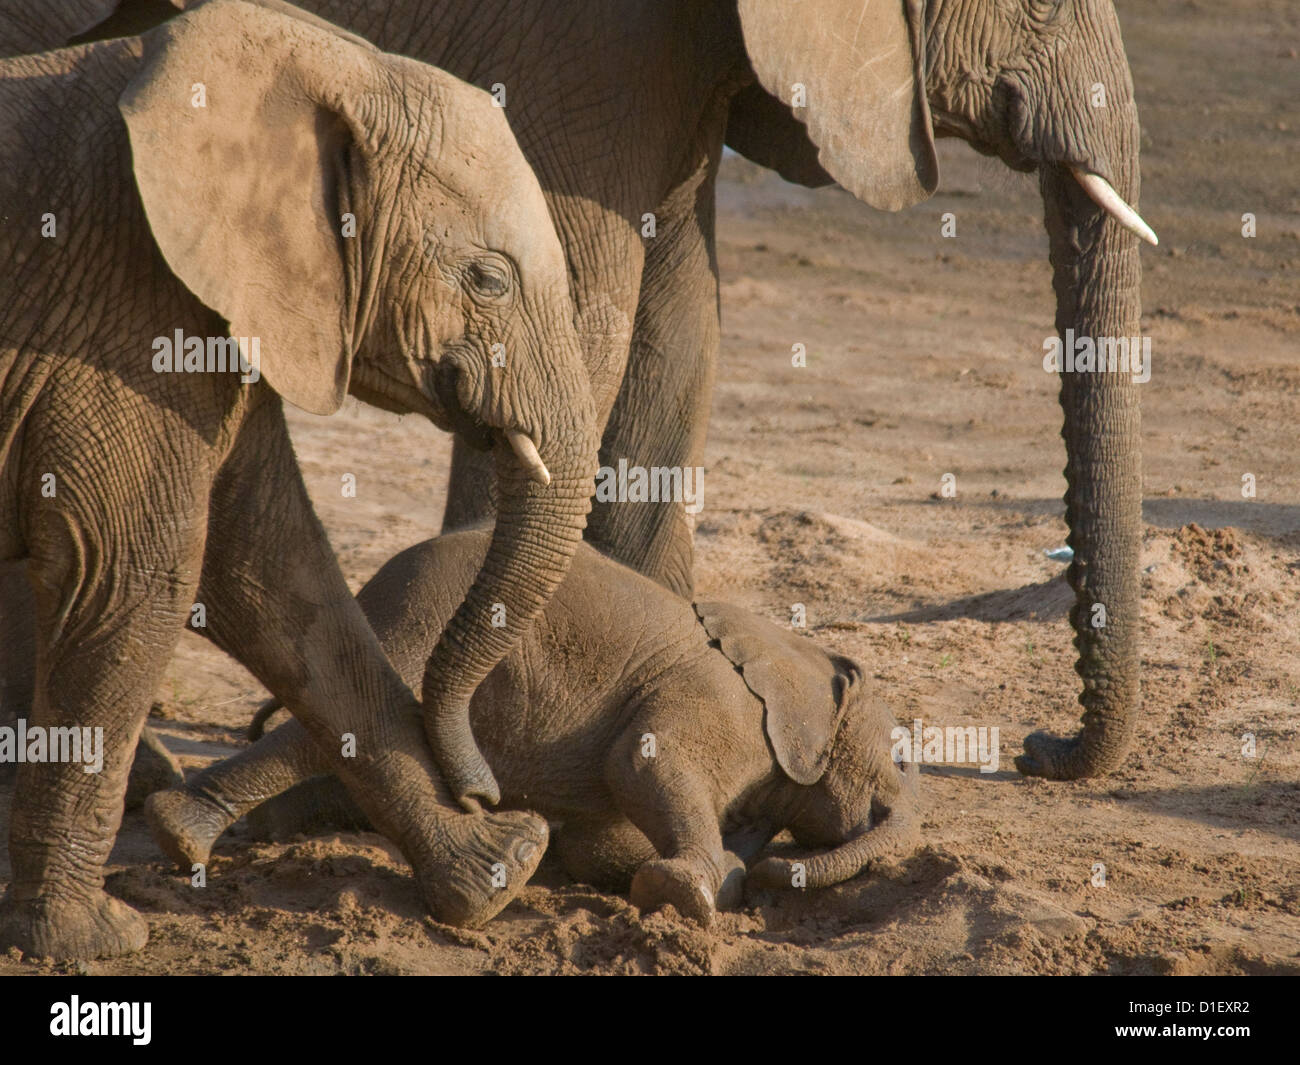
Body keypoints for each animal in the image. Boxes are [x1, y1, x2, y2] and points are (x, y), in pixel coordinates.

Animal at [0, 0, 598, 957]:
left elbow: (273, 573)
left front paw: (499, 874)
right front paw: (89, 939)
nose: (486, 789)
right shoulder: (120, 302)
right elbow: (135, 576)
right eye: (488, 279)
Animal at [144, 530, 915, 925]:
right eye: (893, 763)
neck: (801, 653)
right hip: (425, 611)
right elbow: (639, 765)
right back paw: (187, 836)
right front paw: (693, 894)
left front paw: (728, 867)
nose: (779, 871)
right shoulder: (716, 702)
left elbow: (598, 841)